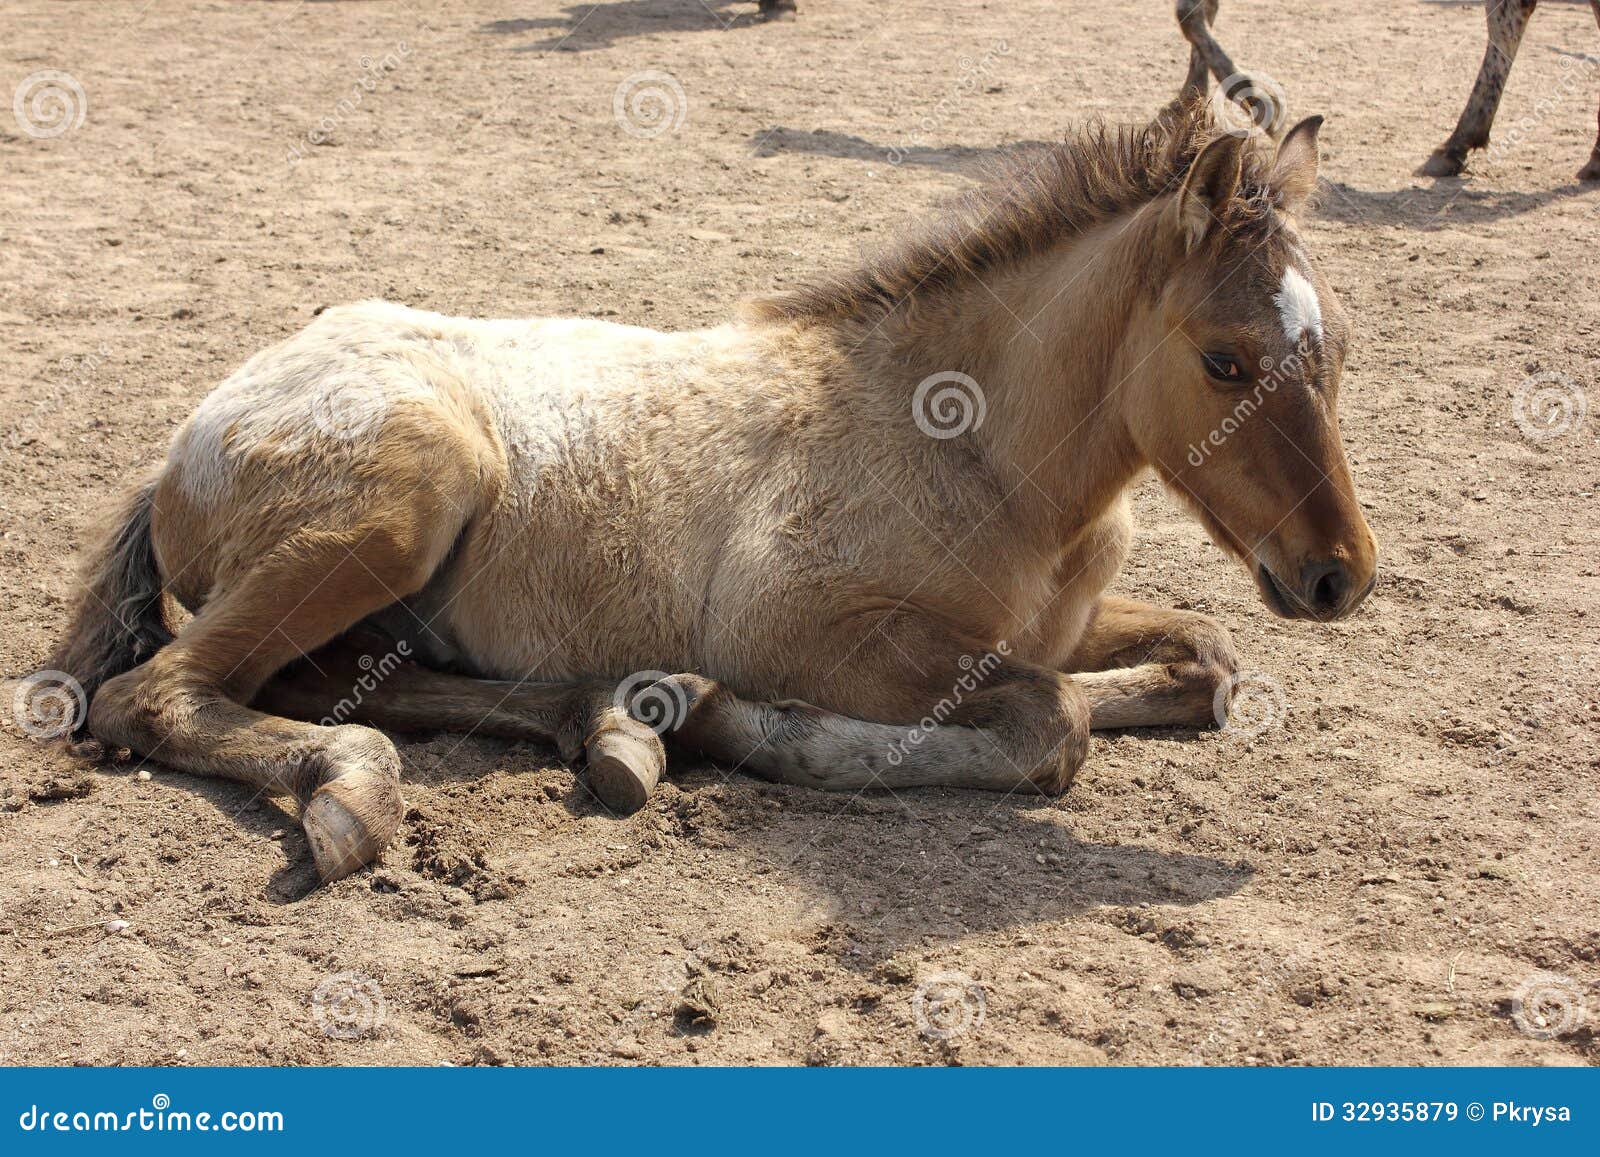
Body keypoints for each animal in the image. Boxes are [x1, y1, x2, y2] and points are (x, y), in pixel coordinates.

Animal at [37, 102, 1378, 884]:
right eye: (1226, 361)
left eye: (1341, 345)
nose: (1337, 574)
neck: (979, 456)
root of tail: (185, 436)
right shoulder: (806, 627)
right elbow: (1050, 722)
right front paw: (757, 729)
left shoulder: (1060, 617)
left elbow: (1205, 658)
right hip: (409, 491)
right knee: (159, 693)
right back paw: (360, 788)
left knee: (325, 678)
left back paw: (620, 722)